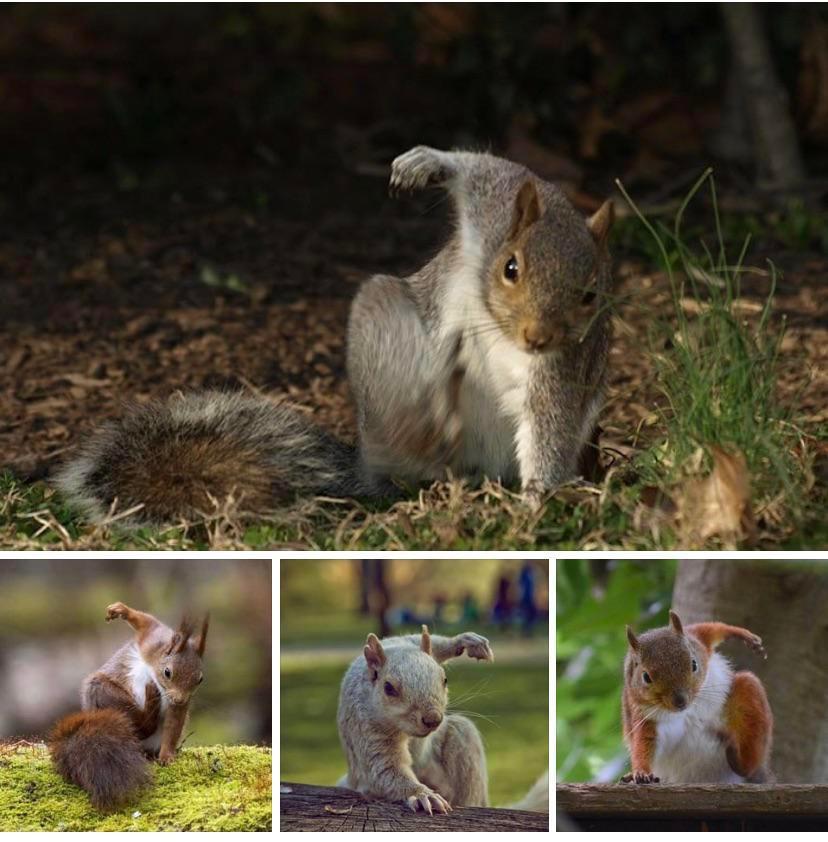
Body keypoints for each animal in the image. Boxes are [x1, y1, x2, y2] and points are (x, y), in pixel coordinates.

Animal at [48, 601, 209, 810]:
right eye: (168, 672)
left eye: (200, 679)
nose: (180, 699)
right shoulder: (152, 640)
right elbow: (146, 622)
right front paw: (120, 610)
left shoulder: (177, 705)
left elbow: (173, 725)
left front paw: (167, 756)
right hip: (103, 692)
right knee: (140, 723)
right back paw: (150, 701)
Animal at [55, 145, 614, 525]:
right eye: (510, 267)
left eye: (592, 294)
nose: (538, 337)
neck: (499, 324)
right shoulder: (493, 210)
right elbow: (483, 169)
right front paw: (424, 163)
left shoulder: (564, 368)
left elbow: (551, 425)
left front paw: (537, 501)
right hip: (381, 323)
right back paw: (422, 431)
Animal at [621, 610, 773, 785]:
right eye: (646, 677)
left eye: (694, 664)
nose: (680, 701)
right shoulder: (644, 717)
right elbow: (643, 744)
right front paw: (641, 772)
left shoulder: (697, 639)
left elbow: (712, 629)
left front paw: (745, 635)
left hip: (748, 694)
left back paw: (741, 760)